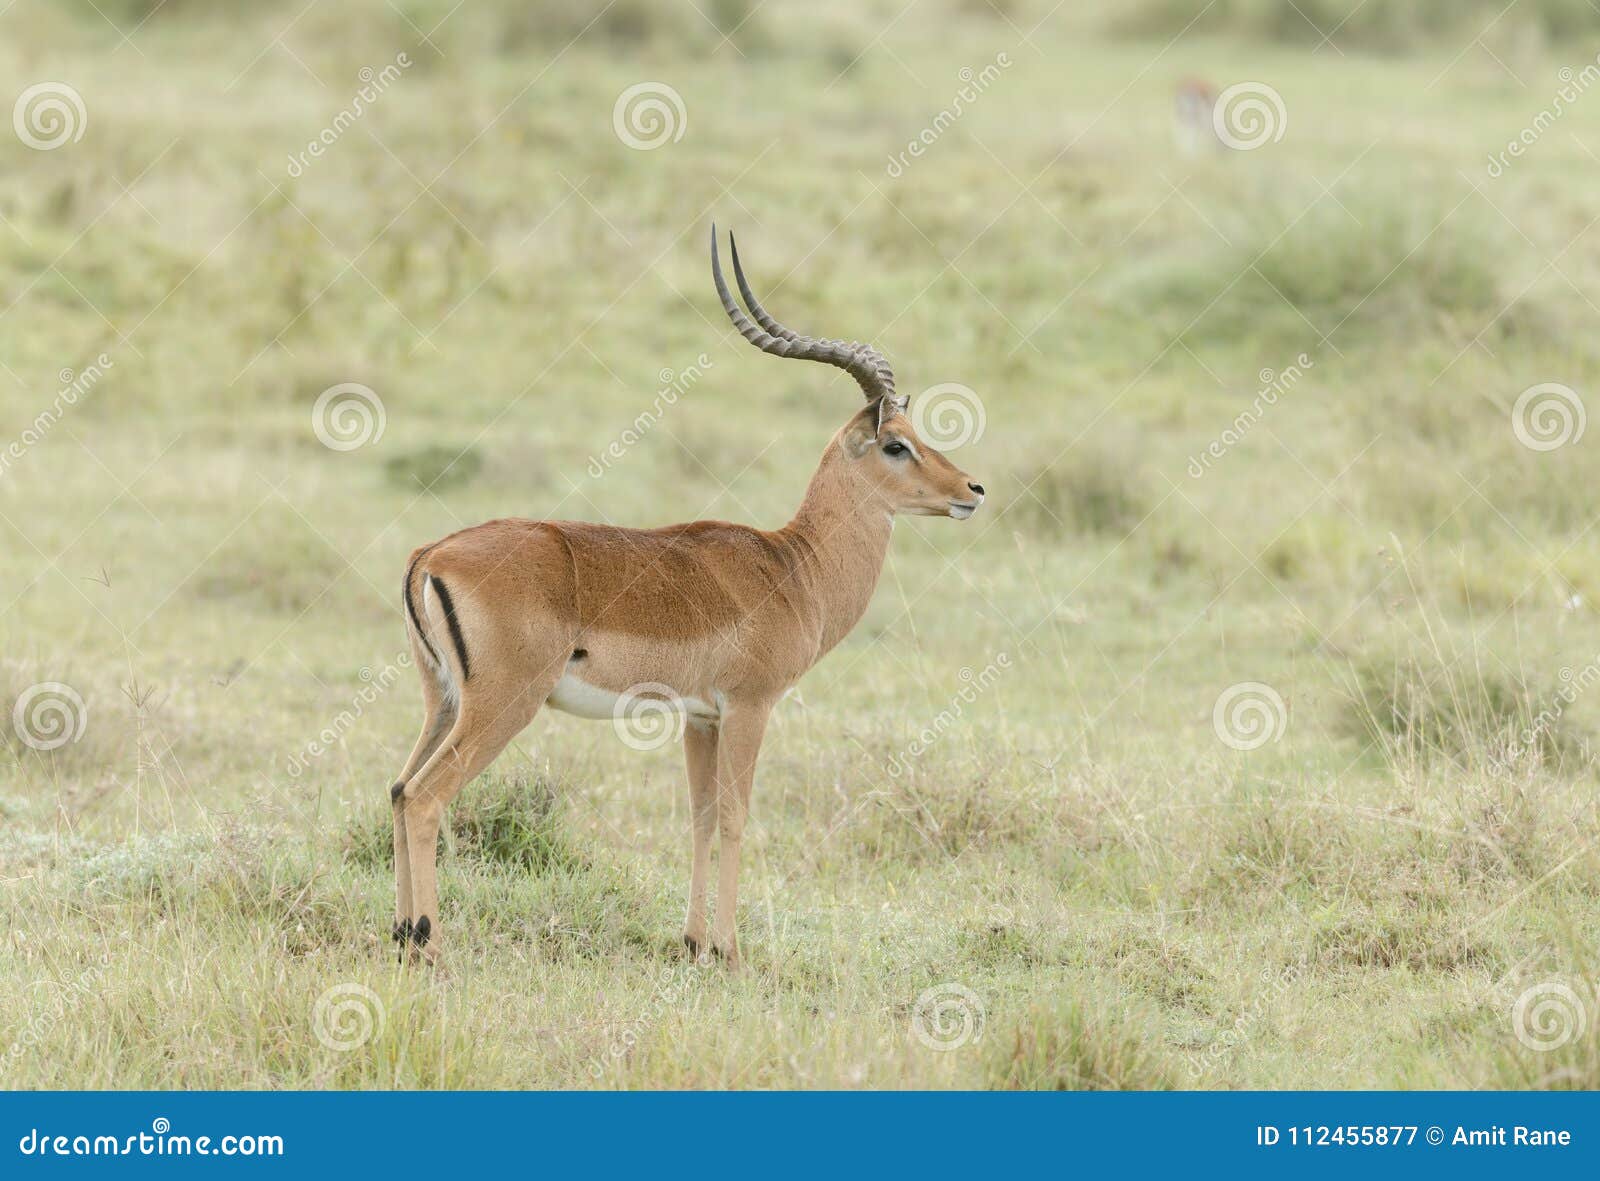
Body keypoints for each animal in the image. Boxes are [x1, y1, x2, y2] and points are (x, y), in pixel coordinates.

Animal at [387, 227, 985, 966]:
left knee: (398, 787)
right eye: (896, 444)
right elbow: (733, 815)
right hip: (503, 705)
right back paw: (429, 944)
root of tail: (431, 554)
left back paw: (401, 934)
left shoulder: (700, 717)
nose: (972, 490)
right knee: (425, 797)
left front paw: (695, 940)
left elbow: (699, 817)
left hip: (442, 699)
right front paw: (732, 950)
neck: (794, 566)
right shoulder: (750, 705)